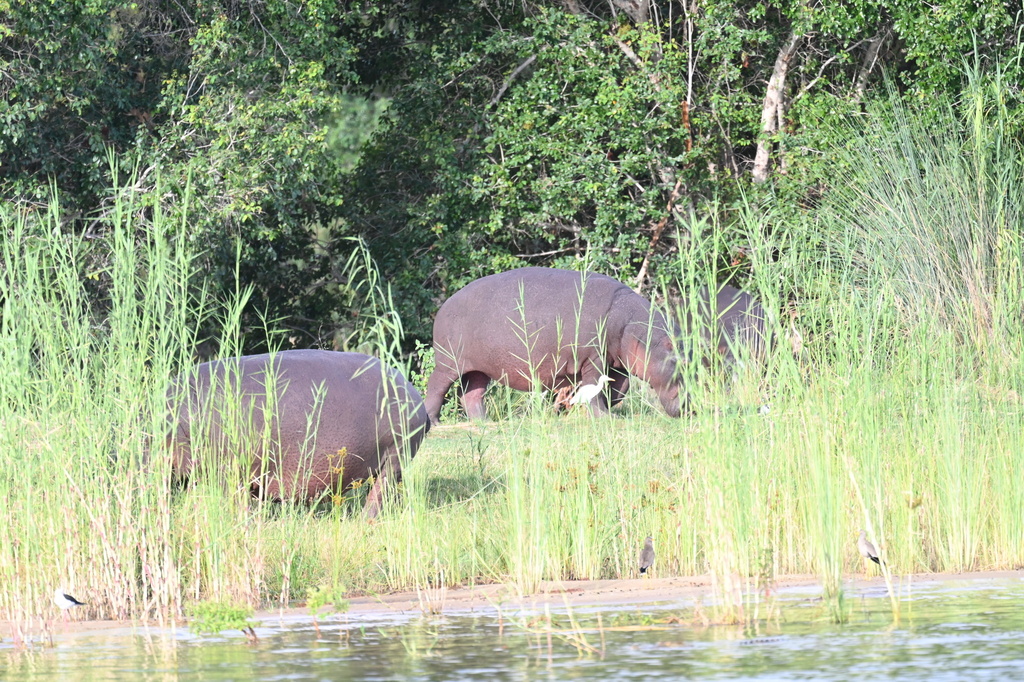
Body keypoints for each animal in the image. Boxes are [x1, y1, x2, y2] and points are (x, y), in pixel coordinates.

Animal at [424, 267, 686, 422]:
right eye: (679, 363)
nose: (690, 406)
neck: (634, 326)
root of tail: (445, 303)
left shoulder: (617, 362)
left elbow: (618, 389)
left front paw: (605, 410)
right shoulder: (594, 358)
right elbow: (594, 387)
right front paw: (603, 417)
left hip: (479, 368)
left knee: (471, 393)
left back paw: (483, 422)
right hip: (448, 363)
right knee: (436, 387)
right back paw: (434, 422)